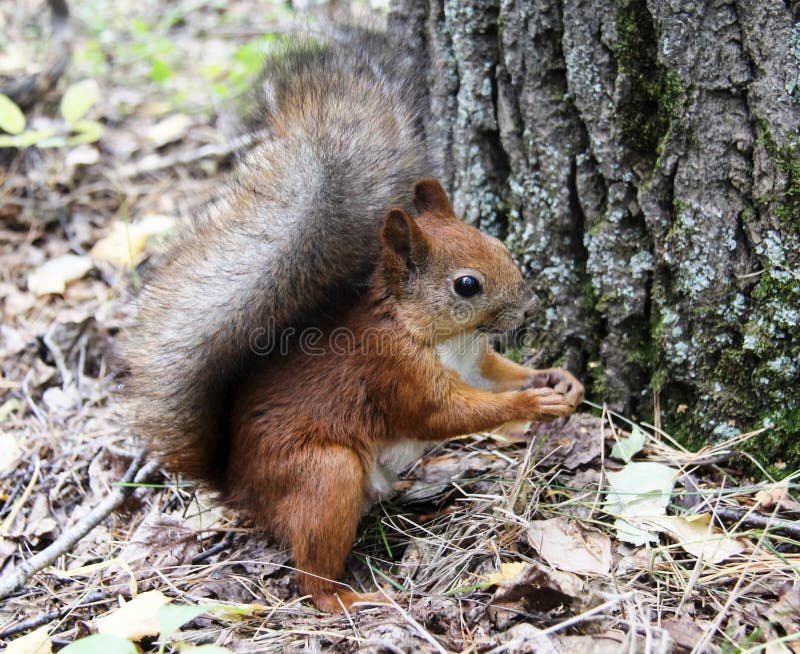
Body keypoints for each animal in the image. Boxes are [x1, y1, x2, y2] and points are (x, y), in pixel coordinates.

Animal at [121, 34, 584, 612]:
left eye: (498, 243)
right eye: (467, 285)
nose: (530, 309)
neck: (444, 337)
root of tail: (237, 485)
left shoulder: (474, 362)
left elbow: (498, 375)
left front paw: (558, 380)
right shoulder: (393, 370)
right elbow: (444, 415)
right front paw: (530, 404)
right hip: (325, 474)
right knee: (311, 577)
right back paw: (352, 599)